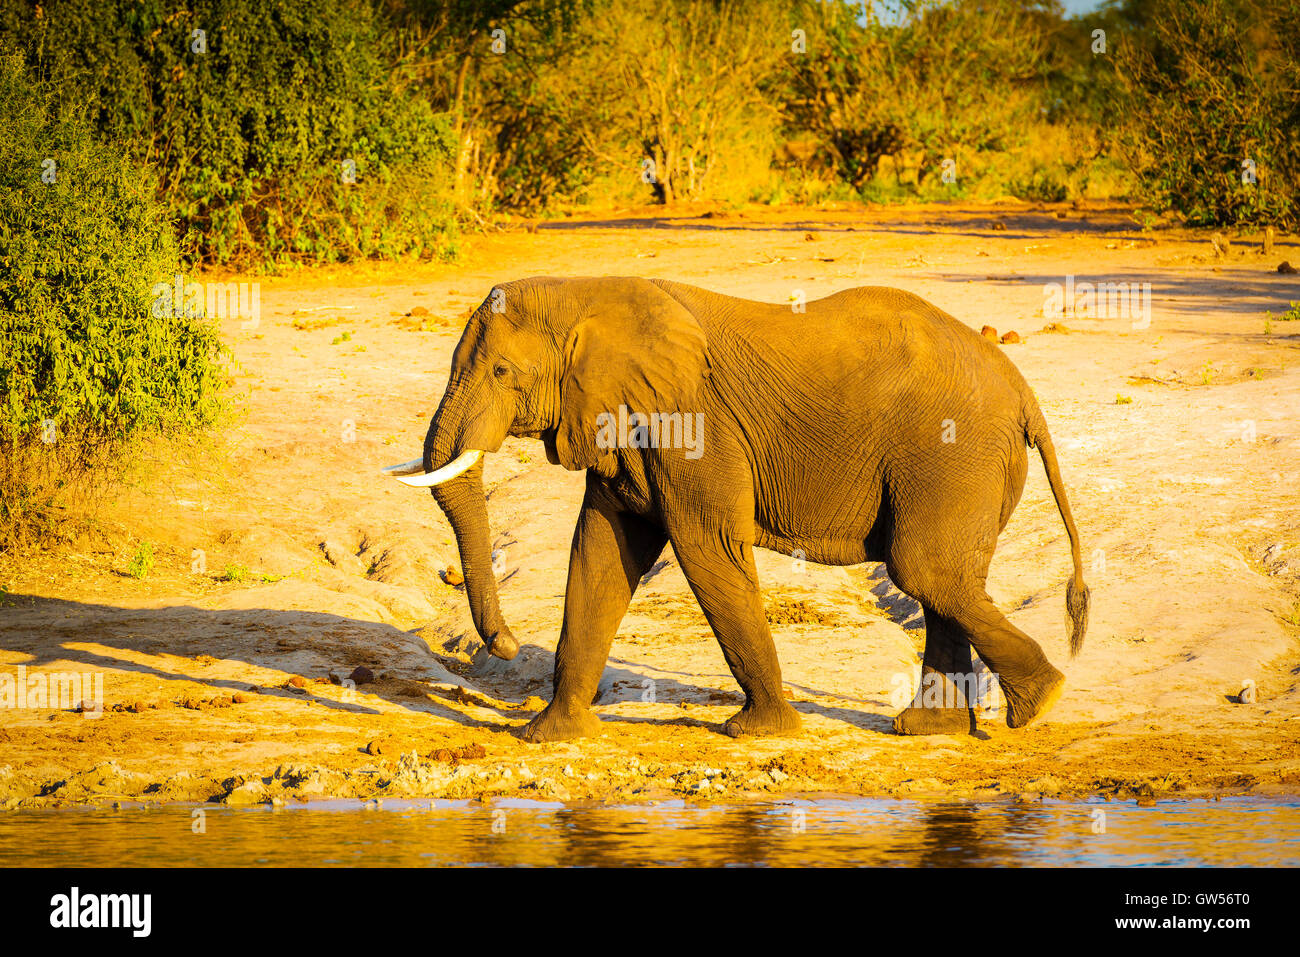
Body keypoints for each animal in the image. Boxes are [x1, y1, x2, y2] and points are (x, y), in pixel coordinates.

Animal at [384, 276, 1089, 742]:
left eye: (503, 373)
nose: (502, 646)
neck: (591, 291)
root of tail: (1023, 391)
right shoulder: (628, 424)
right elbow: (601, 556)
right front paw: (547, 735)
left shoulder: (695, 425)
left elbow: (705, 549)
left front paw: (758, 730)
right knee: (941, 579)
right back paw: (930, 728)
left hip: (952, 452)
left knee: (924, 571)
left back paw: (1037, 705)